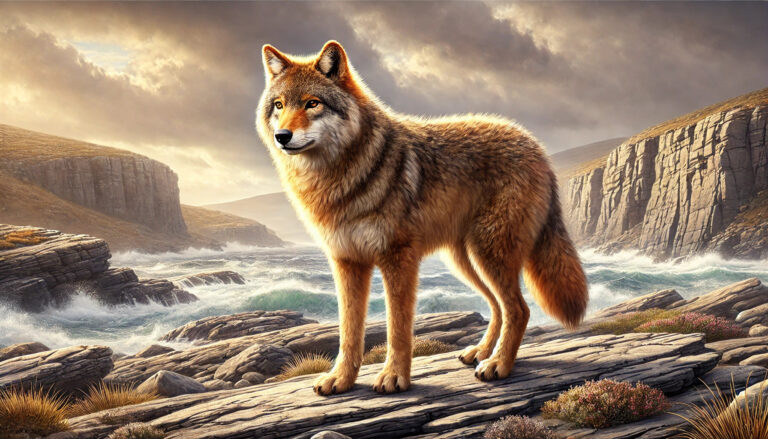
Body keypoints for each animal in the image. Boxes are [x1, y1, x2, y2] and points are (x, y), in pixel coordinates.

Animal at [256, 41, 588, 395]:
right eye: (279, 105)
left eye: (312, 103)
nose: (282, 136)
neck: (339, 176)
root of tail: (538, 148)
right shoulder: (346, 262)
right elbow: (349, 331)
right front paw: (341, 379)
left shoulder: (398, 260)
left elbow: (398, 329)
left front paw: (394, 377)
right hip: (467, 262)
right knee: (499, 307)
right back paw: (481, 352)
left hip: (489, 255)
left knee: (519, 310)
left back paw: (498, 364)